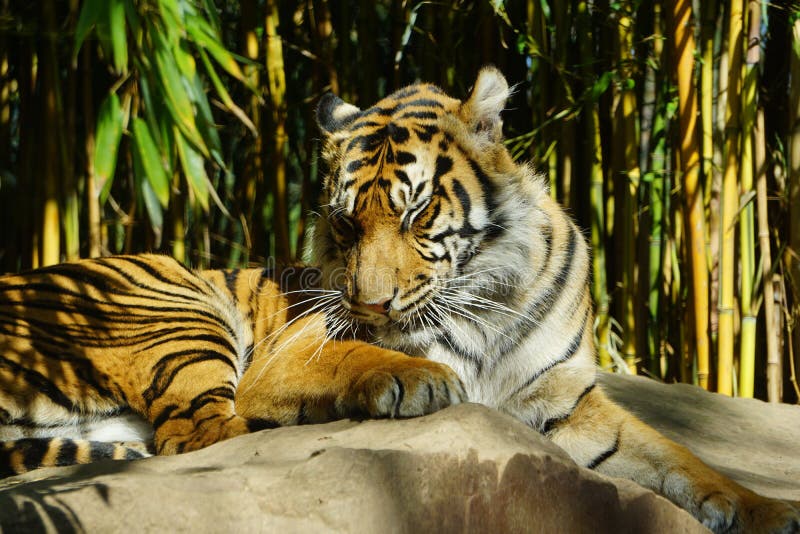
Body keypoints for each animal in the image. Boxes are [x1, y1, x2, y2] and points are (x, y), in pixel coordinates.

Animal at [0, 67, 798, 533]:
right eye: (347, 223)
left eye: (416, 217)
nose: (372, 305)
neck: (487, 300)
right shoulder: (294, 348)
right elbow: (360, 356)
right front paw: (420, 380)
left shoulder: (563, 398)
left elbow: (674, 455)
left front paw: (765, 509)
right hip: (173, 304)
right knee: (195, 435)